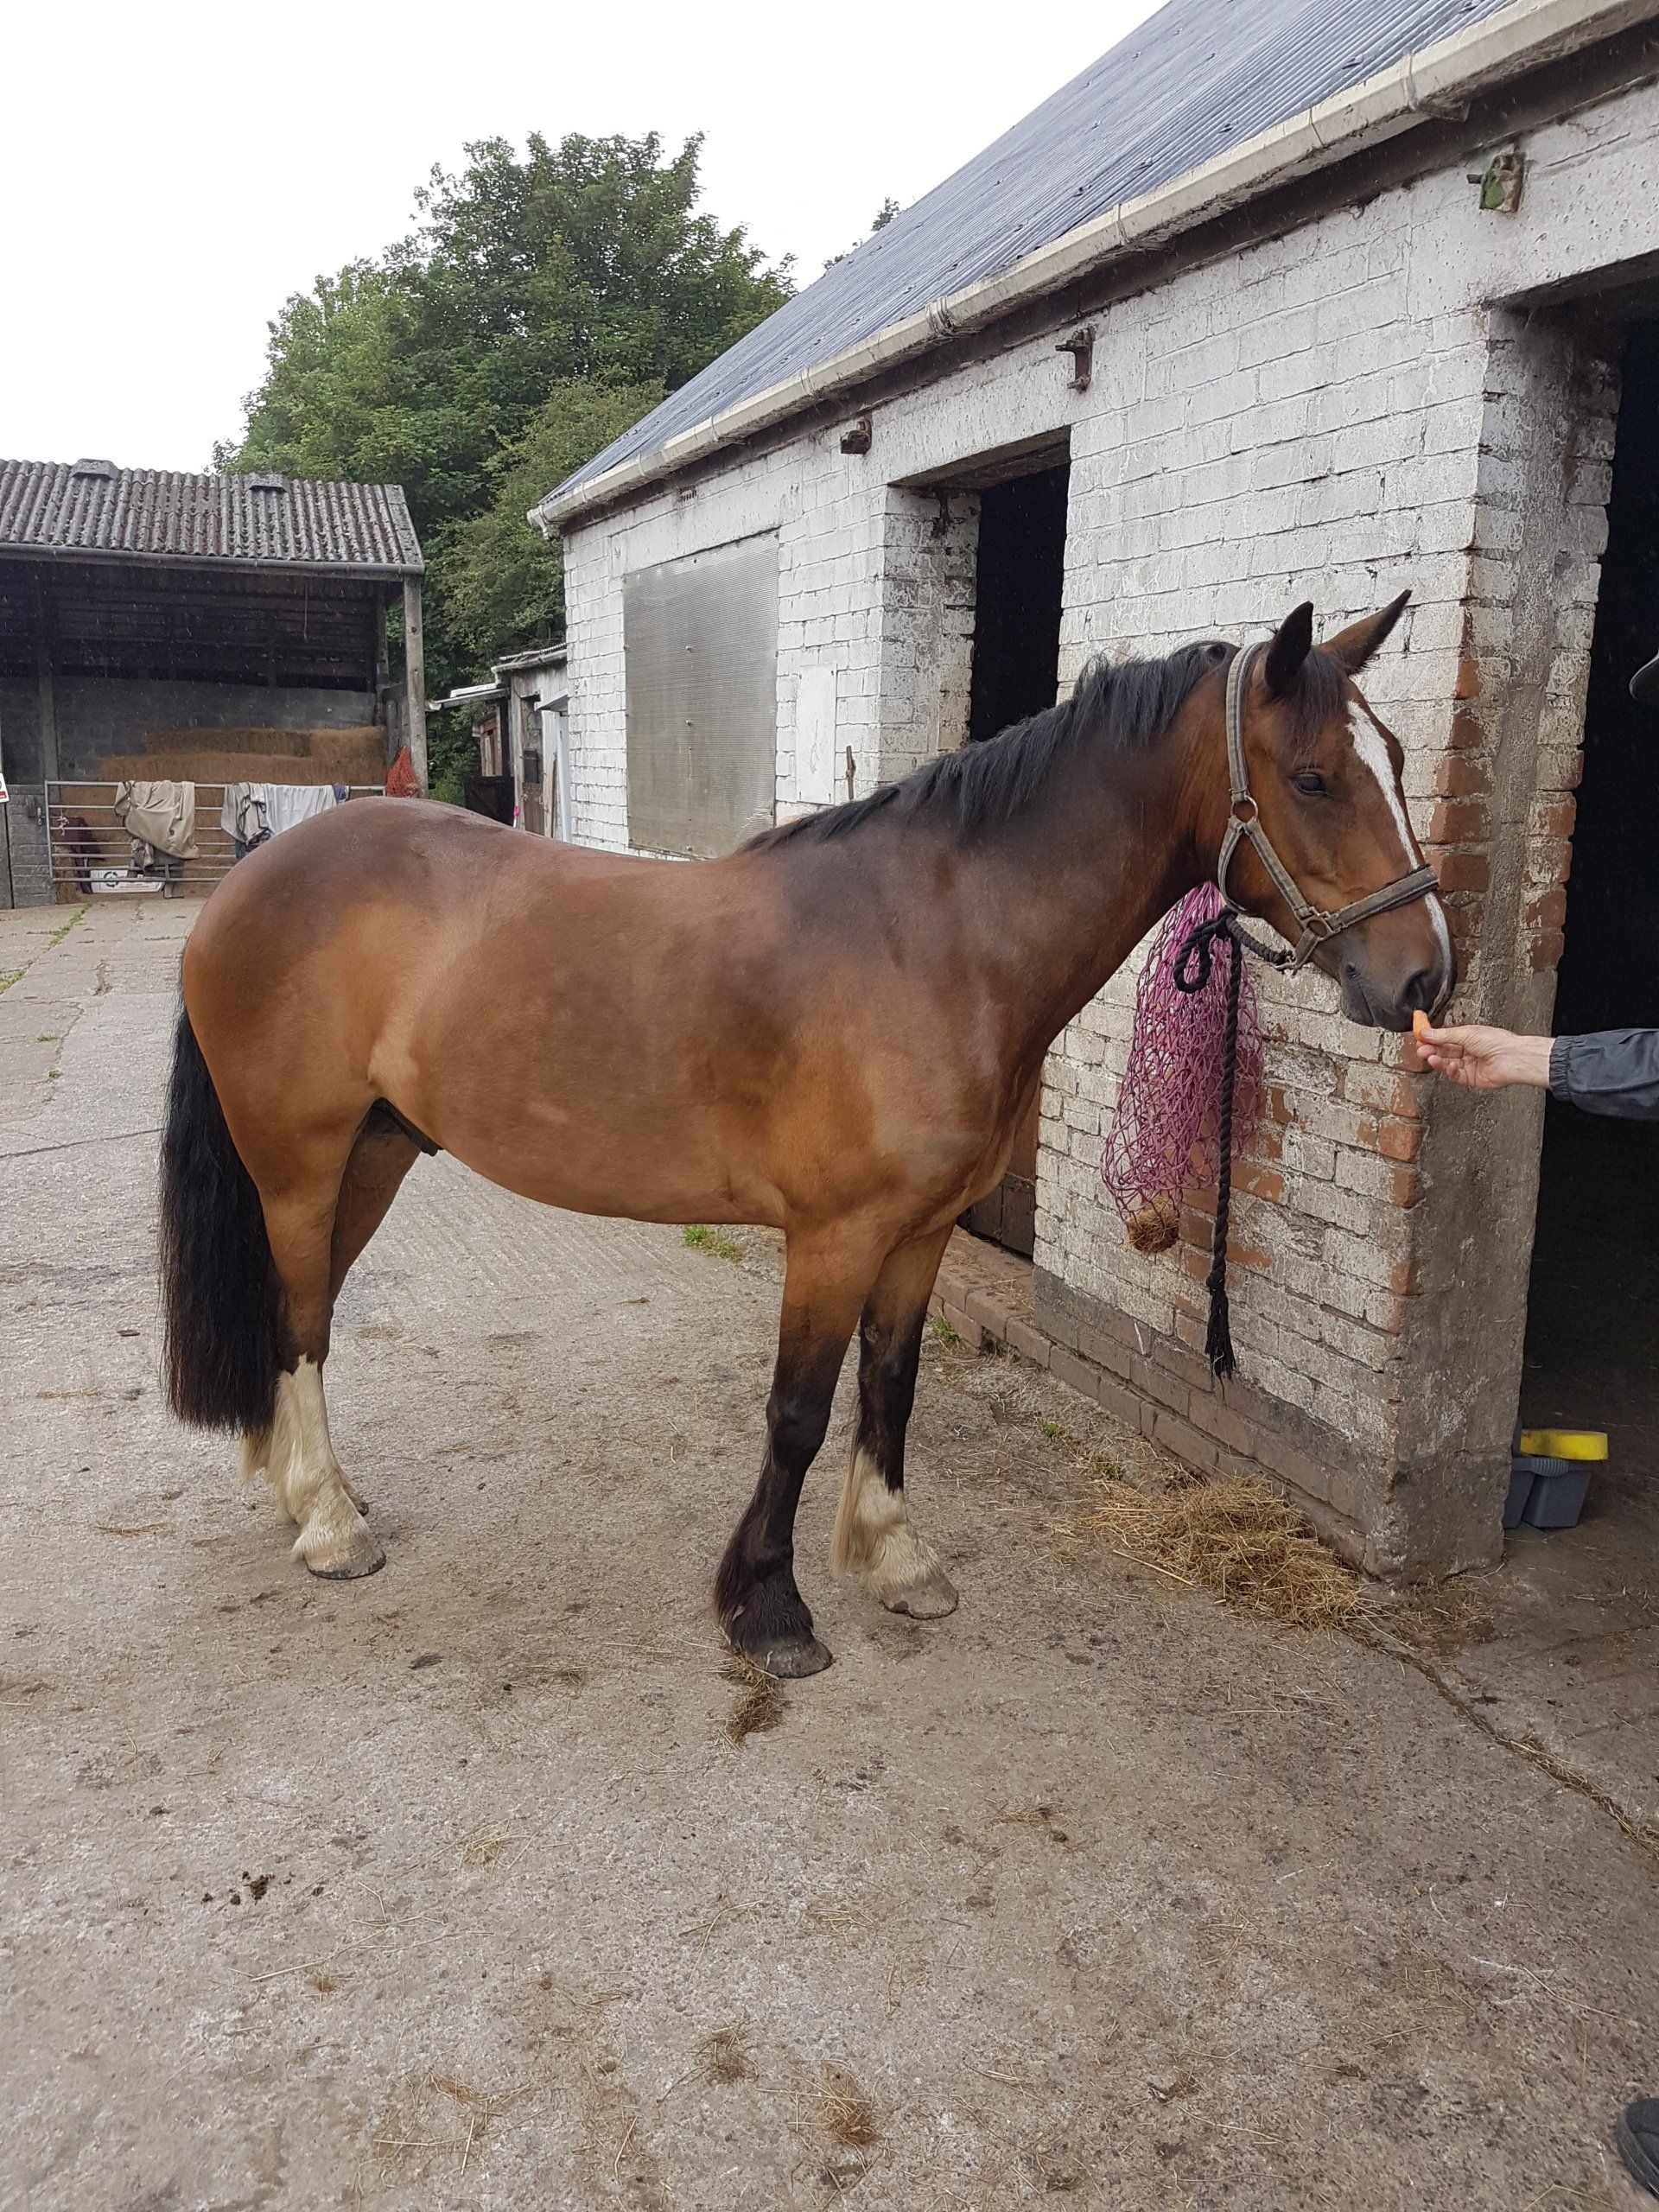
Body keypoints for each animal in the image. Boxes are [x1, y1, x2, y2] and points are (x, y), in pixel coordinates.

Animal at [159, 594, 1453, 1678]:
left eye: (1393, 761)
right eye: (1314, 778)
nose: (1425, 973)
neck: (940, 940)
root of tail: (250, 881)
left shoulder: (920, 1235)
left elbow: (891, 1390)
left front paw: (895, 1558)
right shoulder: (834, 1238)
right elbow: (798, 1412)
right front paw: (768, 1609)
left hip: (373, 1154)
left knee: (304, 1316)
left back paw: (306, 1498)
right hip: (301, 1164)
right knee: (299, 1320)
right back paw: (332, 1526)